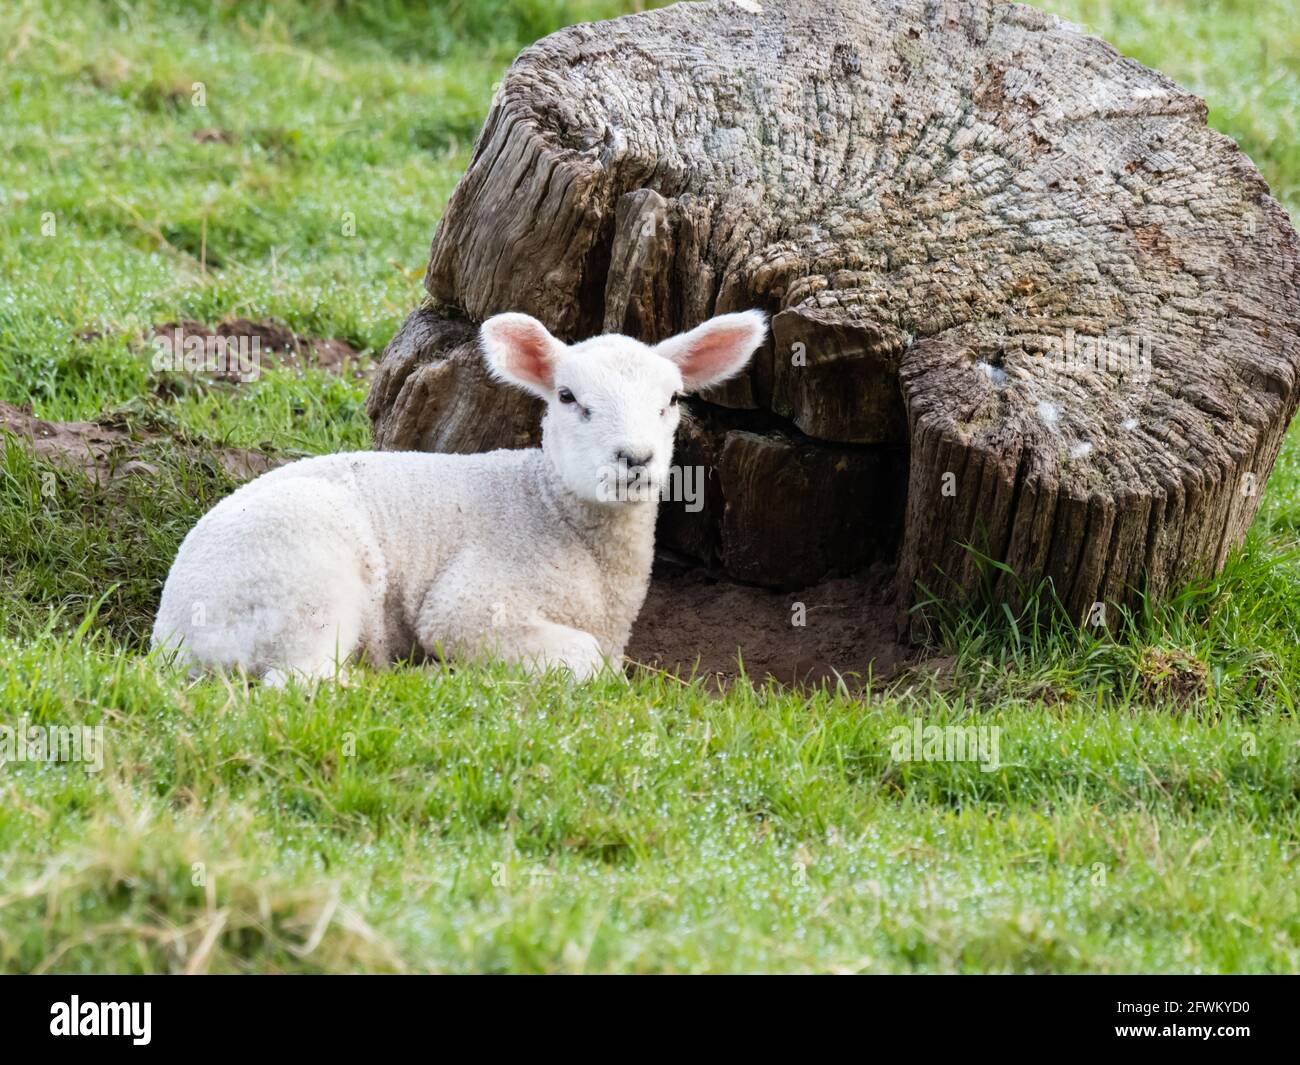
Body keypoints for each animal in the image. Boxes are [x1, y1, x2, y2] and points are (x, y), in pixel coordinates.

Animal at [152, 310, 768, 684]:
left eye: (673, 399)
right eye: (568, 397)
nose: (635, 459)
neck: (552, 513)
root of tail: (170, 635)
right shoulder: (470, 603)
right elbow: (584, 659)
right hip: (303, 578)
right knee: (299, 680)